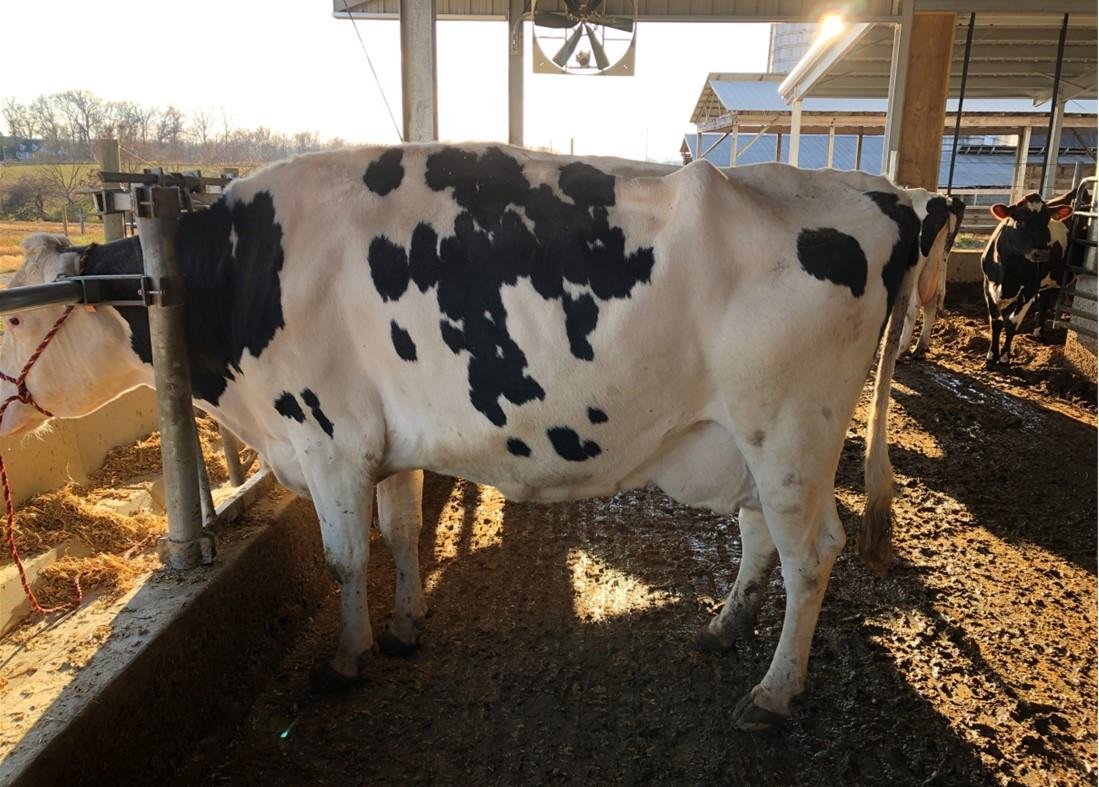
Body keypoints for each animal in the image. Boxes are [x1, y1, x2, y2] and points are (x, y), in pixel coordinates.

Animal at [0, 145, 958, 730]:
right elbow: (396, 533)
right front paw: (405, 627)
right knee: (762, 536)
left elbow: (345, 559)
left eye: (18, 319)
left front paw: (346, 658)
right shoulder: (381, 440)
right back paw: (724, 628)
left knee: (813, 551)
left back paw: (774, 690)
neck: (238, 275)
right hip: (746, 439)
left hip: (790, 431)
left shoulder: (327, 437)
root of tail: (877, 194)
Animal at [982, 192, 1074, 368]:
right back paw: (1038, 332)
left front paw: (1004, 358)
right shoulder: (988, 284)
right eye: (1020, 221)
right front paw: (991, 356)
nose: (1043, 253)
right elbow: (996, 321)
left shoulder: (1029, 289)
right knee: (1044, 303)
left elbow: (1012, 323)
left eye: (1047, 221)